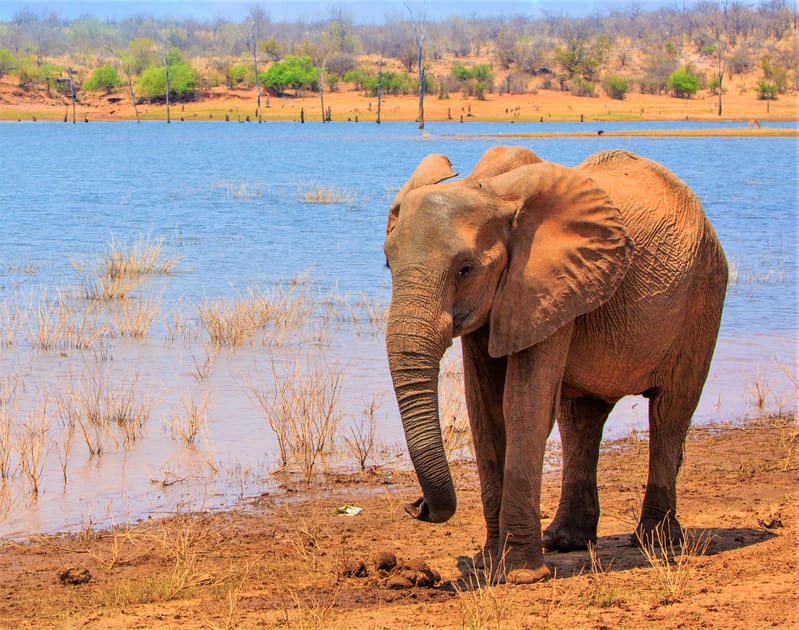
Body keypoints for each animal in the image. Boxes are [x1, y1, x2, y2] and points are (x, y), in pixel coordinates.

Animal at [383, 145, 727, 583]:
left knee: (671, 410)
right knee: (579, 418)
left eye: (465, 270)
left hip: (704, 294)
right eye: (388, 265)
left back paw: (656, 543)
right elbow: (485, 412)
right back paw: (565, 541)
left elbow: (522, 406)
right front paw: (487, 565)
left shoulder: (545, 284)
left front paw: (520, 575)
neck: (488, 190)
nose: (416, 506)